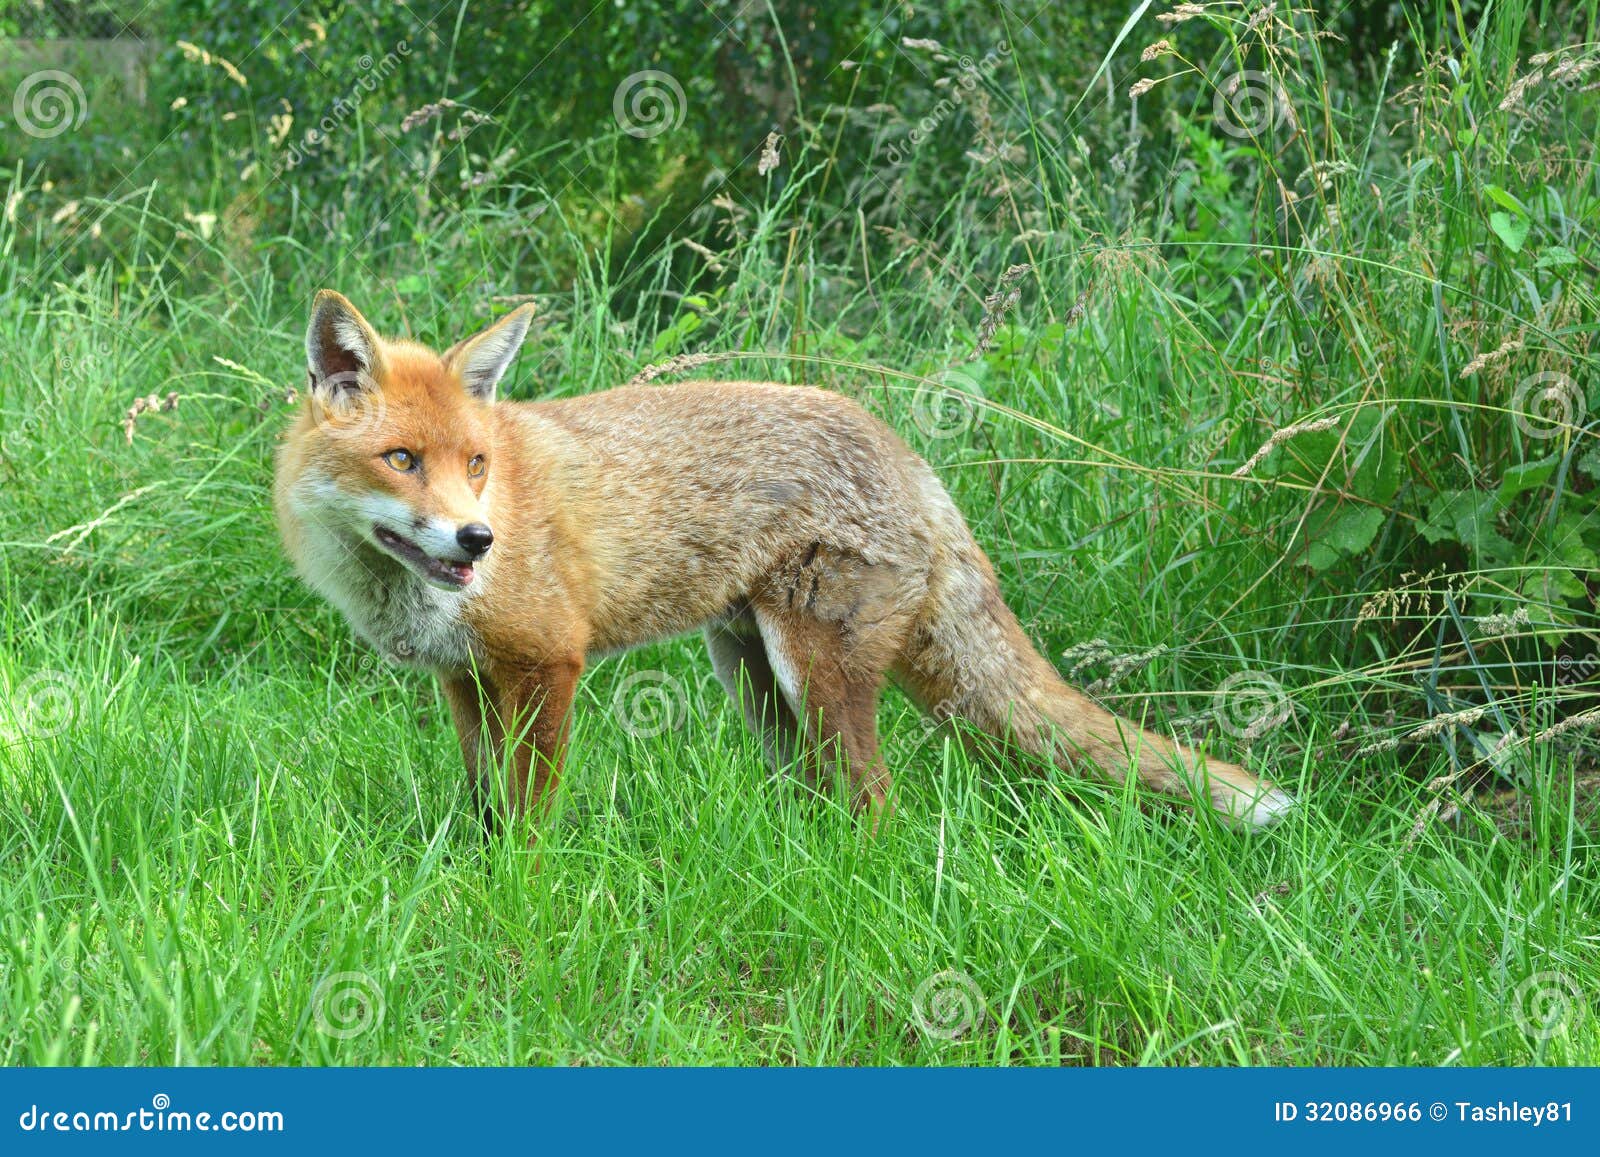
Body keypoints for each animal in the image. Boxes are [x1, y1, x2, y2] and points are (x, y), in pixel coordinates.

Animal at [274, 290, 1294, 841]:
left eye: (477, 464)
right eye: (404, 460)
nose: (477, 540)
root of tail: (905, 450)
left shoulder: (547, 662)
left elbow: (529, 810)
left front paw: (524, 885)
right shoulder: (467, 681)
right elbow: (486, 802)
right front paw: (482, 871)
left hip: (817, 673)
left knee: (877, 802)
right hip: (752, 677)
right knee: (814, 792)